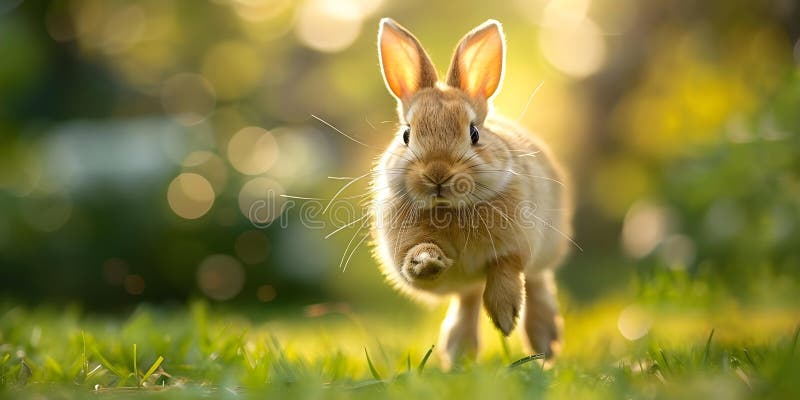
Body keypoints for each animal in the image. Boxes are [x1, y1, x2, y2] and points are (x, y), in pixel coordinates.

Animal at [370, 18, 573, 369]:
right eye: (407, 135)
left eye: (474, 132)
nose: (437, 174)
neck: (449, 208)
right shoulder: (405, 248)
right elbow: (417, 258)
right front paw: (427, 260)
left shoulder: (516, 246)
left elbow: (506, 269)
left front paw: (505, 317)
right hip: (466, 291)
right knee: (467, 301)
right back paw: (458, 357)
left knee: (535, 282)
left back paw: (544, 343)